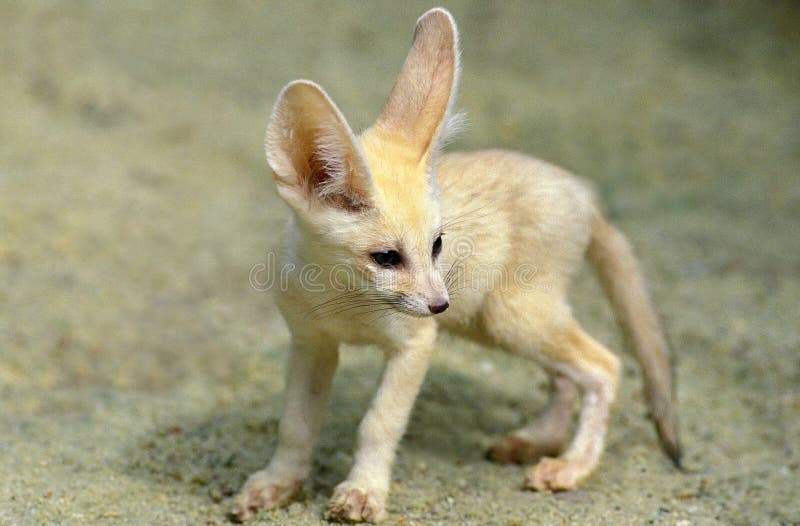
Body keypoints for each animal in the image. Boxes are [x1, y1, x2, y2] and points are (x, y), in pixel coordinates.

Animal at [233, 7, 681, 523]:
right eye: (386, 257)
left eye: (437, 245)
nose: (438, 305)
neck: (344, 303)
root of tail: (582, 189)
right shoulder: (312, 344)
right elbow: (295, 425)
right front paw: (278, 483)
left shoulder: (416, 345)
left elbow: (378, 424)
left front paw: (364, 491)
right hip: (494, 324)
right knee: (567, 377)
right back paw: (536, 441)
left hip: (510, 318)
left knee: (603, 367)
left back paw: (570, 466)